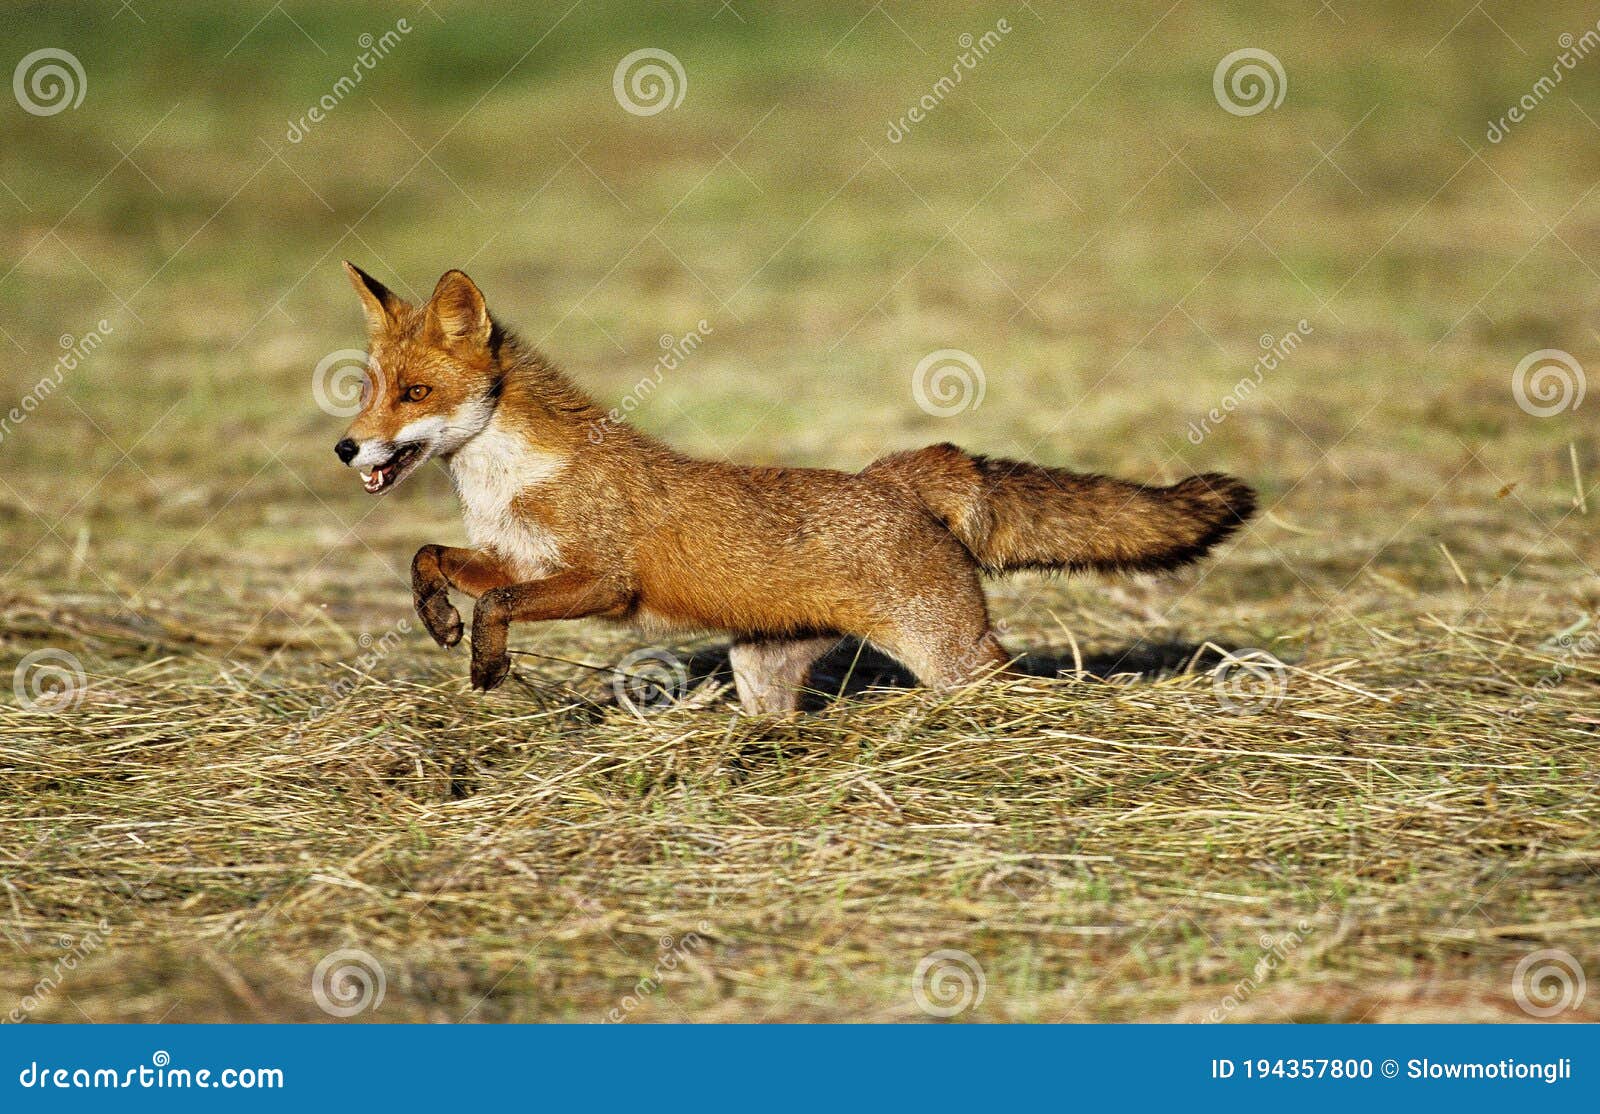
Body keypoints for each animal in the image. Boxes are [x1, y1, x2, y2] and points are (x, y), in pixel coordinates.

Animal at [332, 263, 1256, 714]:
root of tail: (899, 473)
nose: (347, 448)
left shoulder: (601, 581)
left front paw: (486, 662)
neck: (507, 483)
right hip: (761, 672)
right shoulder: (511, 556)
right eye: (368, 389)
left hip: (952, 659)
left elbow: (497, 604)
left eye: (414, 393)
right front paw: (440, 622)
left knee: (1021, 681)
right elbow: (429, 558)